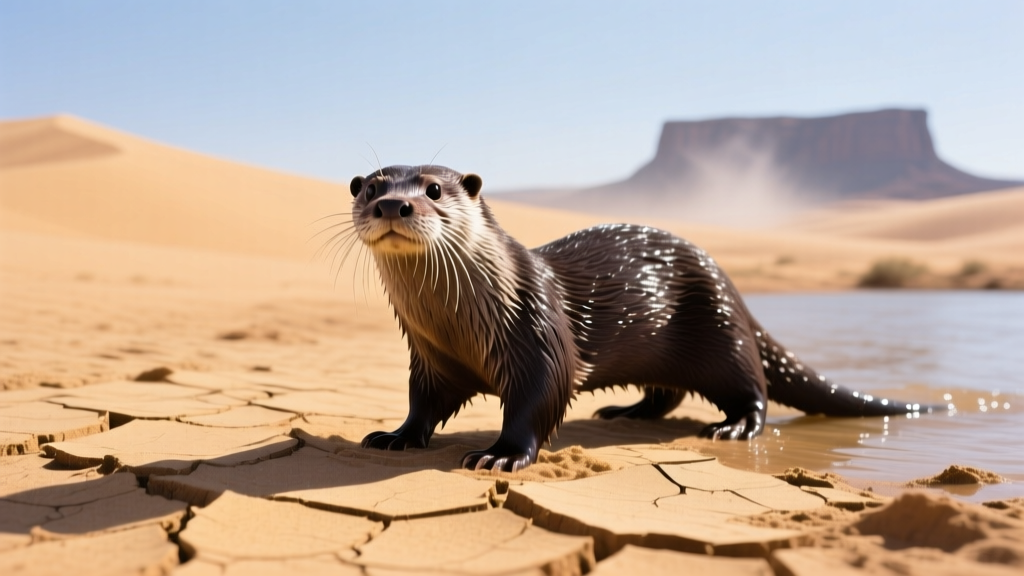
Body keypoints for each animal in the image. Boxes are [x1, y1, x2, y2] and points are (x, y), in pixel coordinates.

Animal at [345, 165, 933, 472]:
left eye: (433, 188)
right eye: (372, 187)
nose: (393, 206)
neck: (460, 328)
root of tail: (731, 285)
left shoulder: (539, 334)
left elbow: (538, 400)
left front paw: (502, 455)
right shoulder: (430, 357)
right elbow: (423, 402)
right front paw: (396, 435)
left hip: (721, 331)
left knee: (754, 388)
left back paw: (733, 426)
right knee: (666, 393)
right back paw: (624, 412)